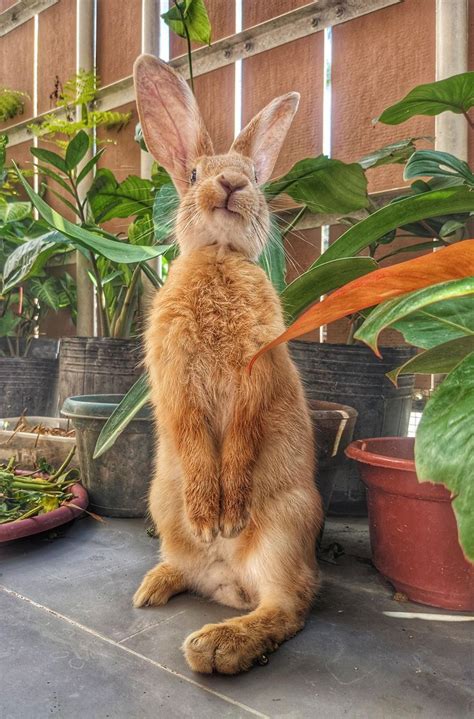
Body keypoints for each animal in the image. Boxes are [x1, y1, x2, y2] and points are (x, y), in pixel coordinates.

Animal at [132, 54, 323, 675]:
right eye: (194, 174)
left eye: (254, 177)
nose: (232, 185)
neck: (217, 257)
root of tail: (227, 582)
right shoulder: (175, 382)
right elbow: (195, 439)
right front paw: (209, 516)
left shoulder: (252, 380)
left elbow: (239, 438)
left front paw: (228, 516)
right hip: (163, 507)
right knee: (194, 572)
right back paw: (154, 587)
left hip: (285, 527)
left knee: (288, 607)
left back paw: (217, 645)